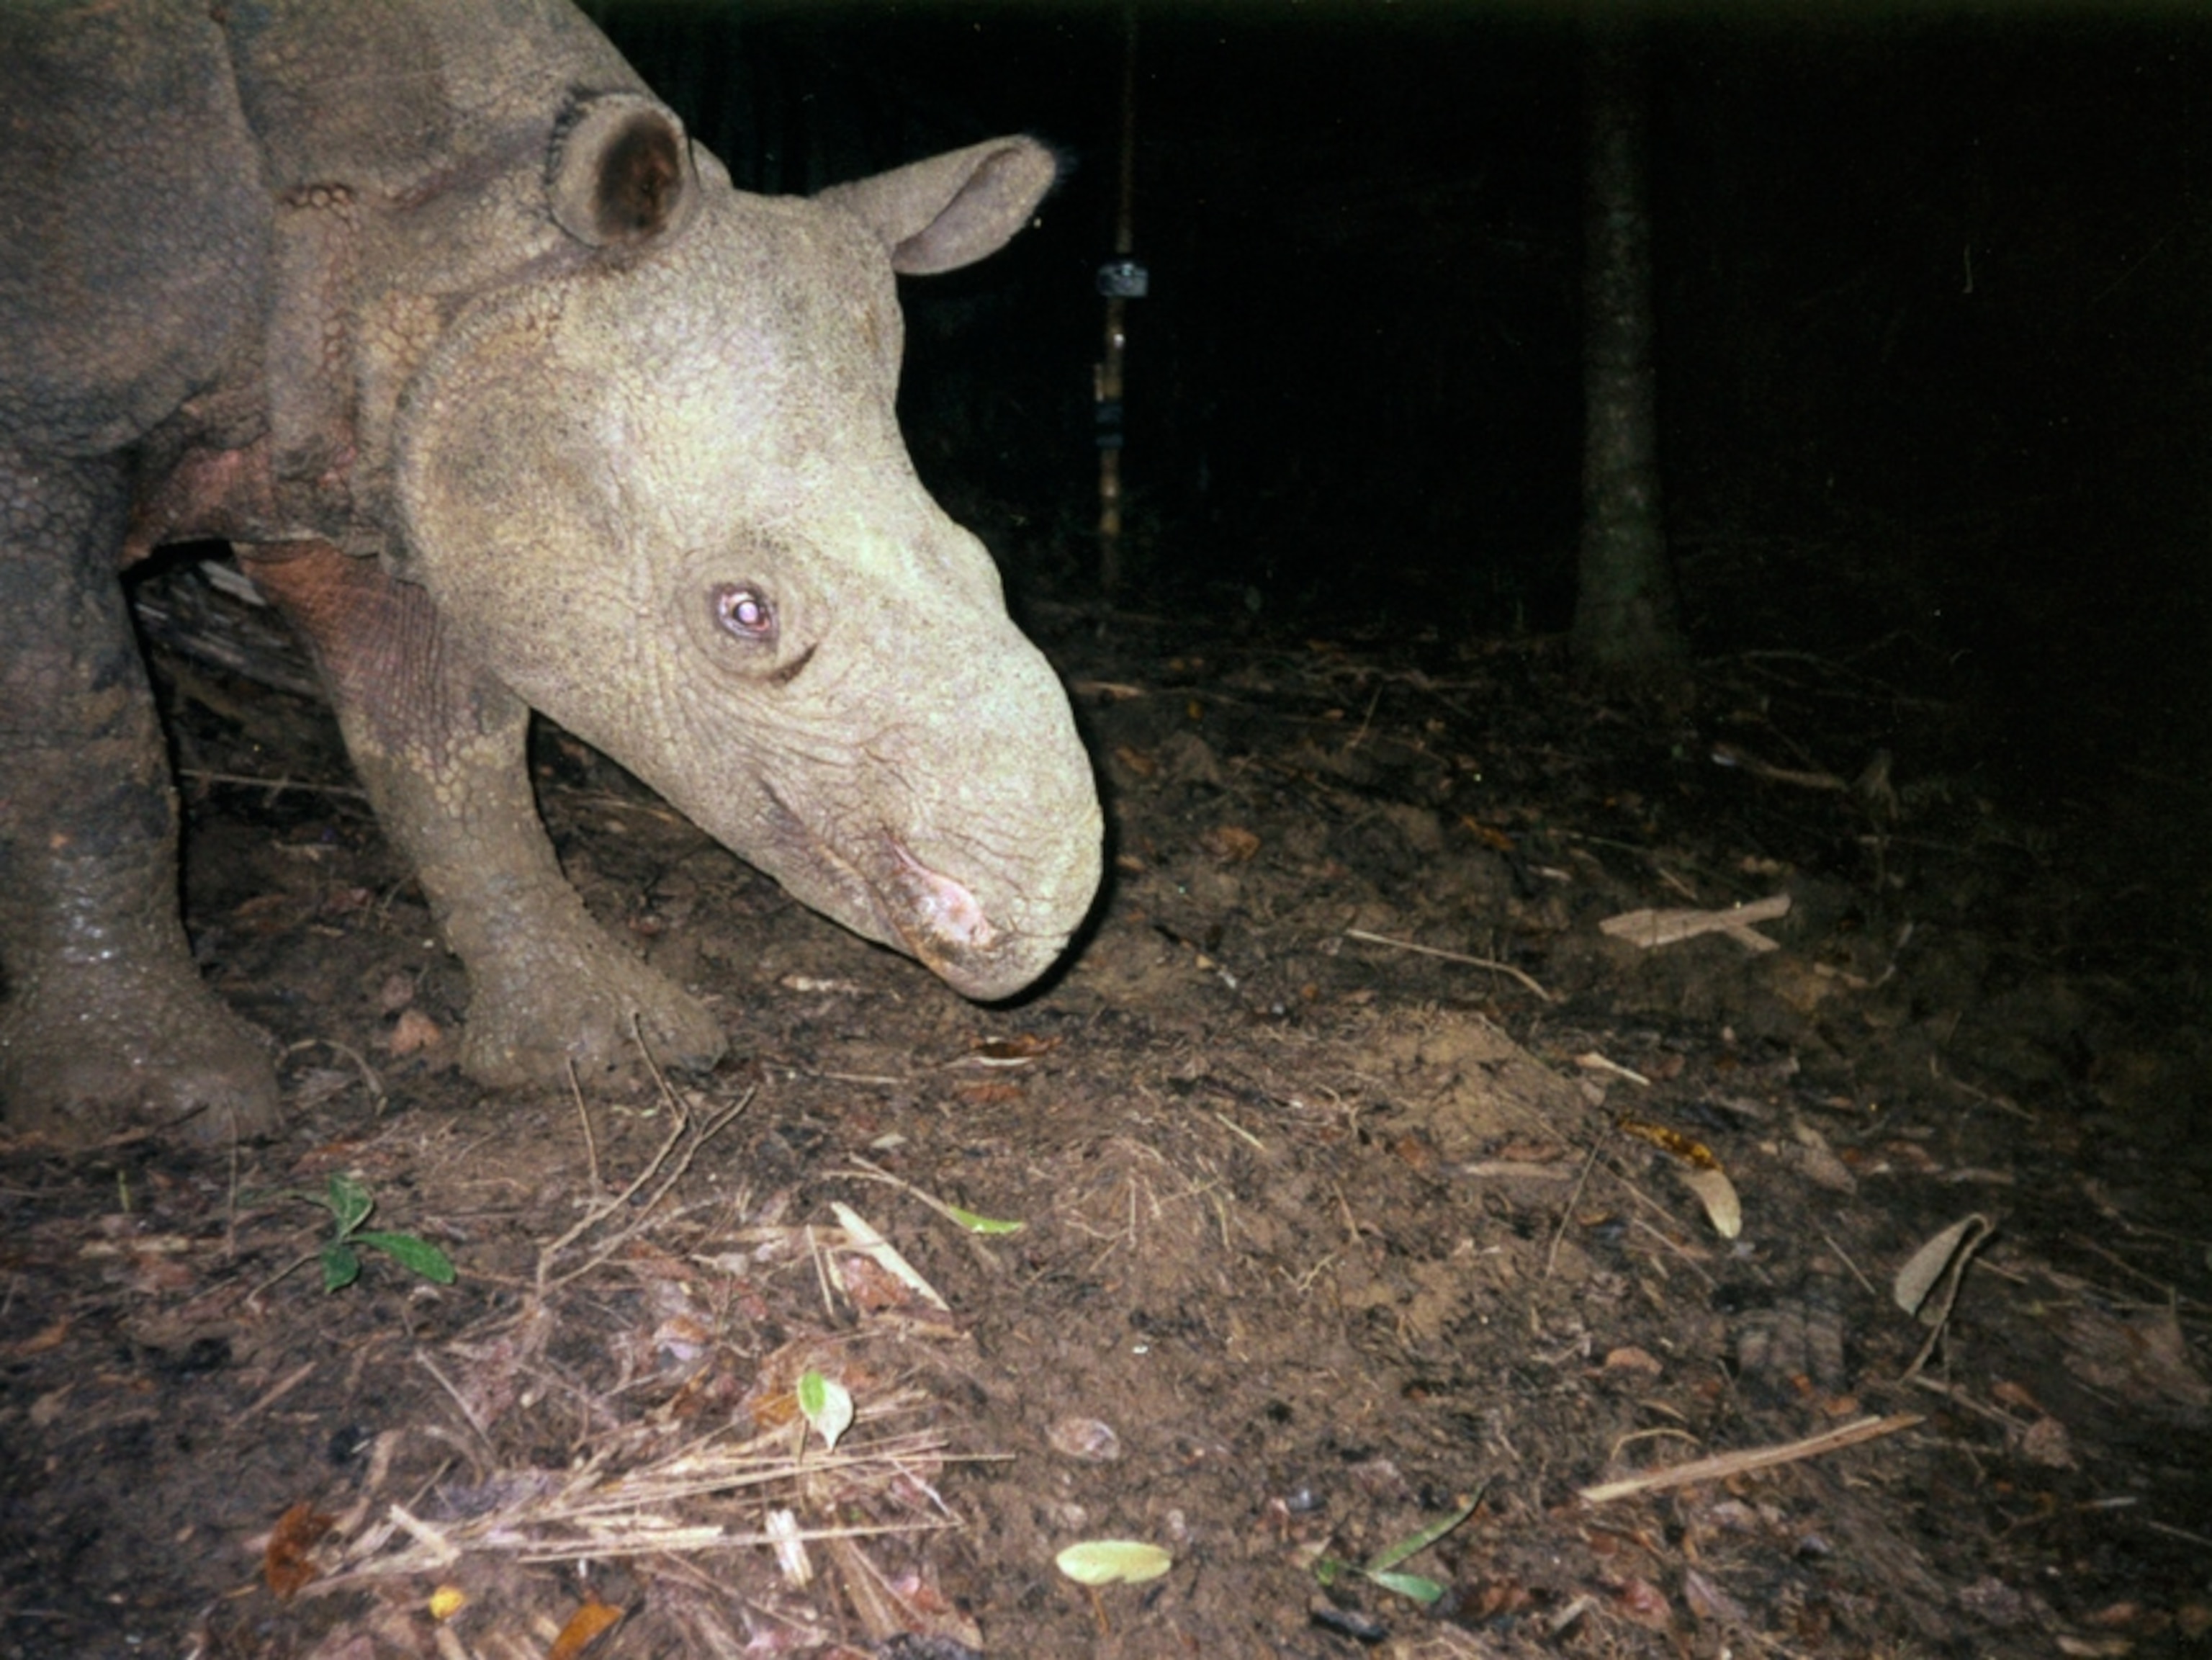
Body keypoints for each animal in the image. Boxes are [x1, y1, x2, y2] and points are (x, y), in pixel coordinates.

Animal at [0, 0, 1103, 1142]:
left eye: (985, 564)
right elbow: (83, 739)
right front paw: (147, 1101)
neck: (458, 245)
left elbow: (445, 747)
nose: (1047, 911)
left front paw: (596, 1048)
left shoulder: (403, 457)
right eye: (744, 613)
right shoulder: (47, 428)